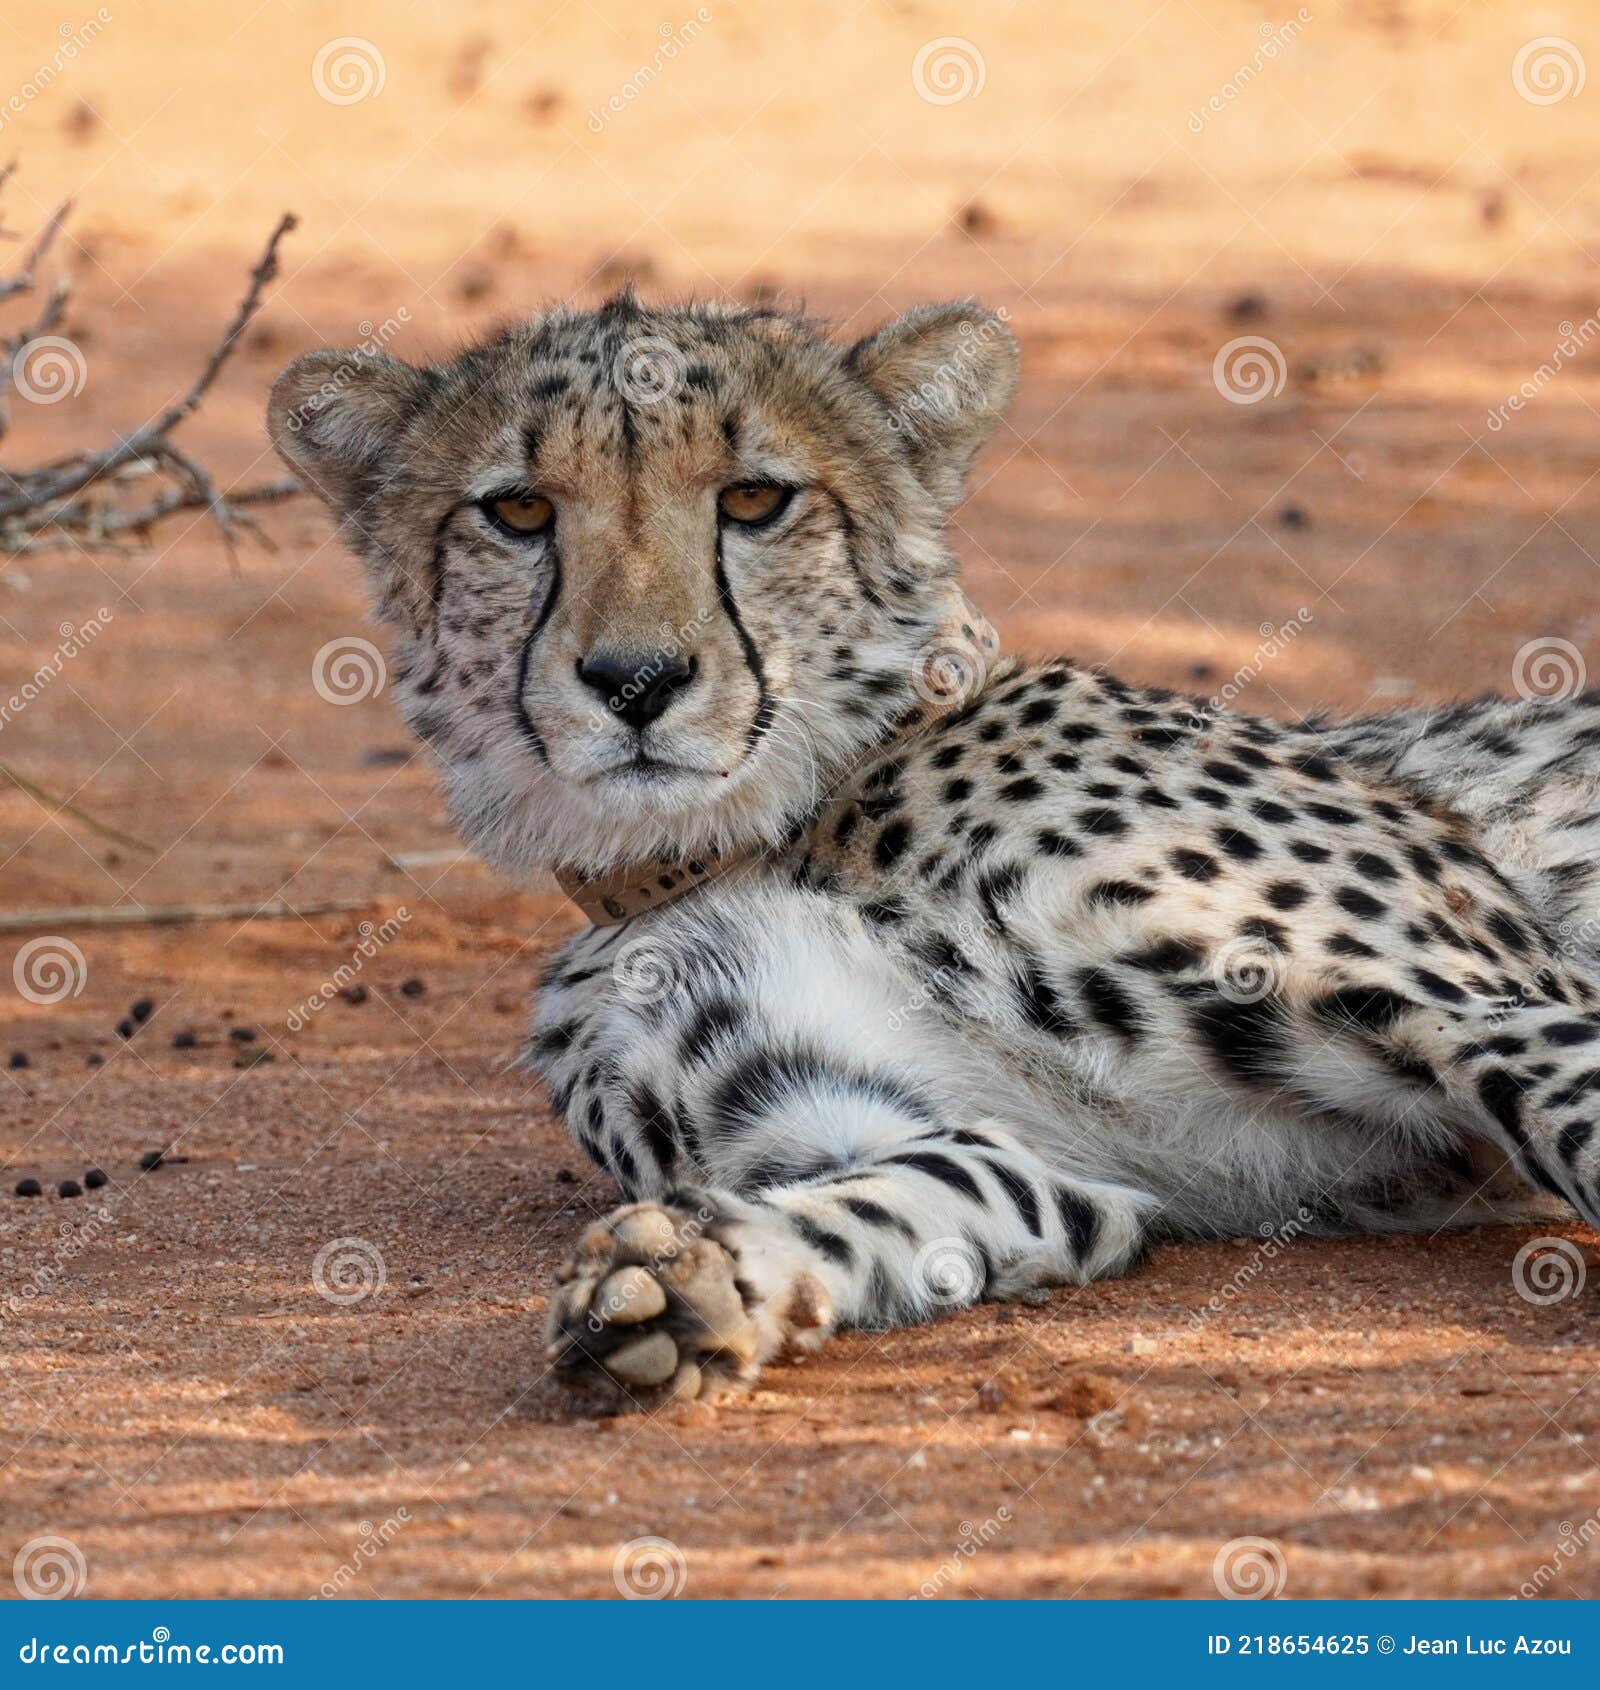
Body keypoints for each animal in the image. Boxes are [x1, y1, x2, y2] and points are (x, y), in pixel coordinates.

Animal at [269, 290, 1600, 1411]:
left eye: (754, 500)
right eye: (518, 511)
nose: (634, 681)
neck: (768, 828)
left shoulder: (1495, 1005)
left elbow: (1569, 1113)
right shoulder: (1002, 1153)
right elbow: (918, 1193)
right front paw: (703, 1275)